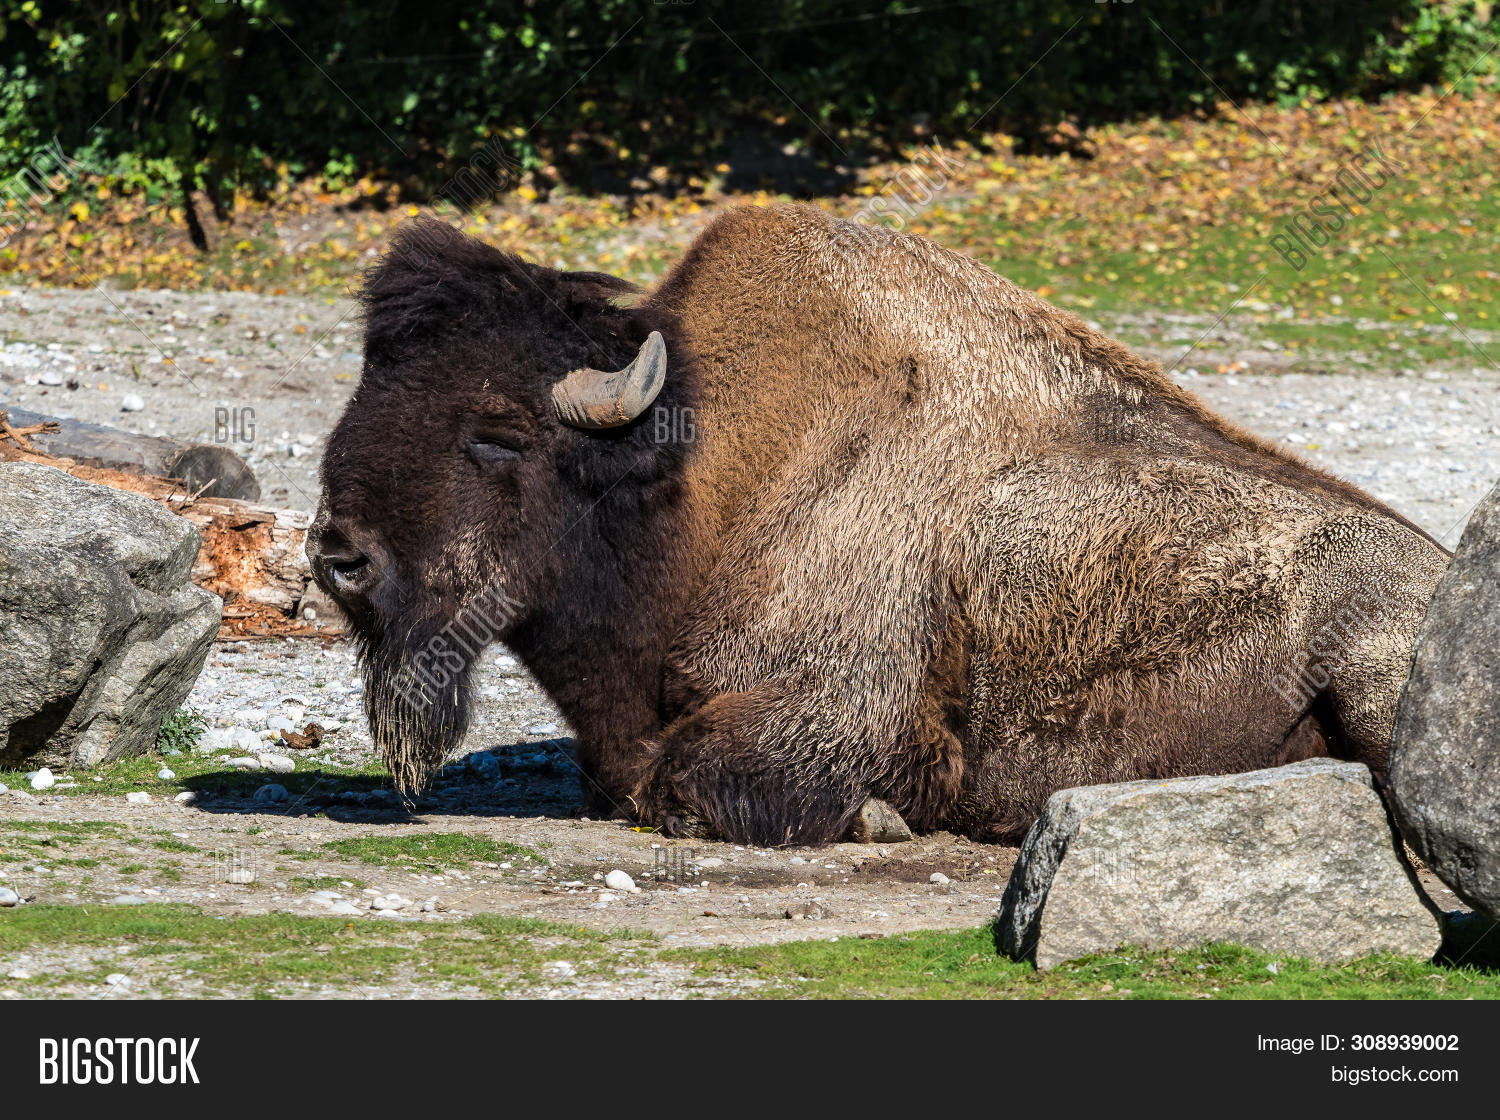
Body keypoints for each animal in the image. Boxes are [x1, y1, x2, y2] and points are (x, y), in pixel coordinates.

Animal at [309, 203, 1447, 846]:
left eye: (497, 434)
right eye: (367, 383)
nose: (337, 556)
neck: (697, 471)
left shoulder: (841, 710)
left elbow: (696, 782)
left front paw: (881, 819)